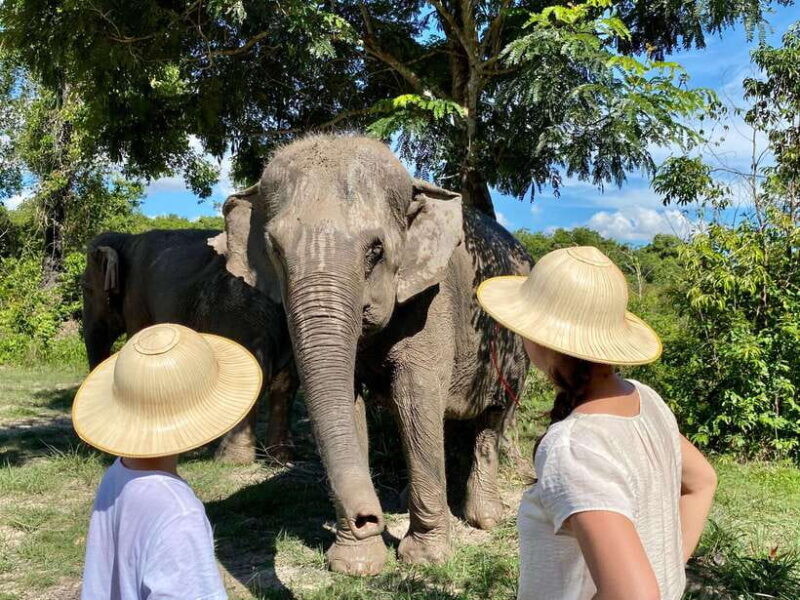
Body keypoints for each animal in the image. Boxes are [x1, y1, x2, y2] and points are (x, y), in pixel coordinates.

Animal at [81, 224, 298, 464]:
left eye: (86, 289)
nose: (94, 450)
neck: (127, 240)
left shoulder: (135, 298)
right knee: (285, 382)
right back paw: (280, 458)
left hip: (245, 316)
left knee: (257, 374)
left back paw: (229, 459)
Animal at [216, 134, 532, 576]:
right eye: (275, 250)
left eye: (375, 251)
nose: (367, 518)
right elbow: (352, 405)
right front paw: (356, 563)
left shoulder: (433, 302)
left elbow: (416, 396)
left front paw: (426, 559)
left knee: (491, 418)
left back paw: (484, 519)